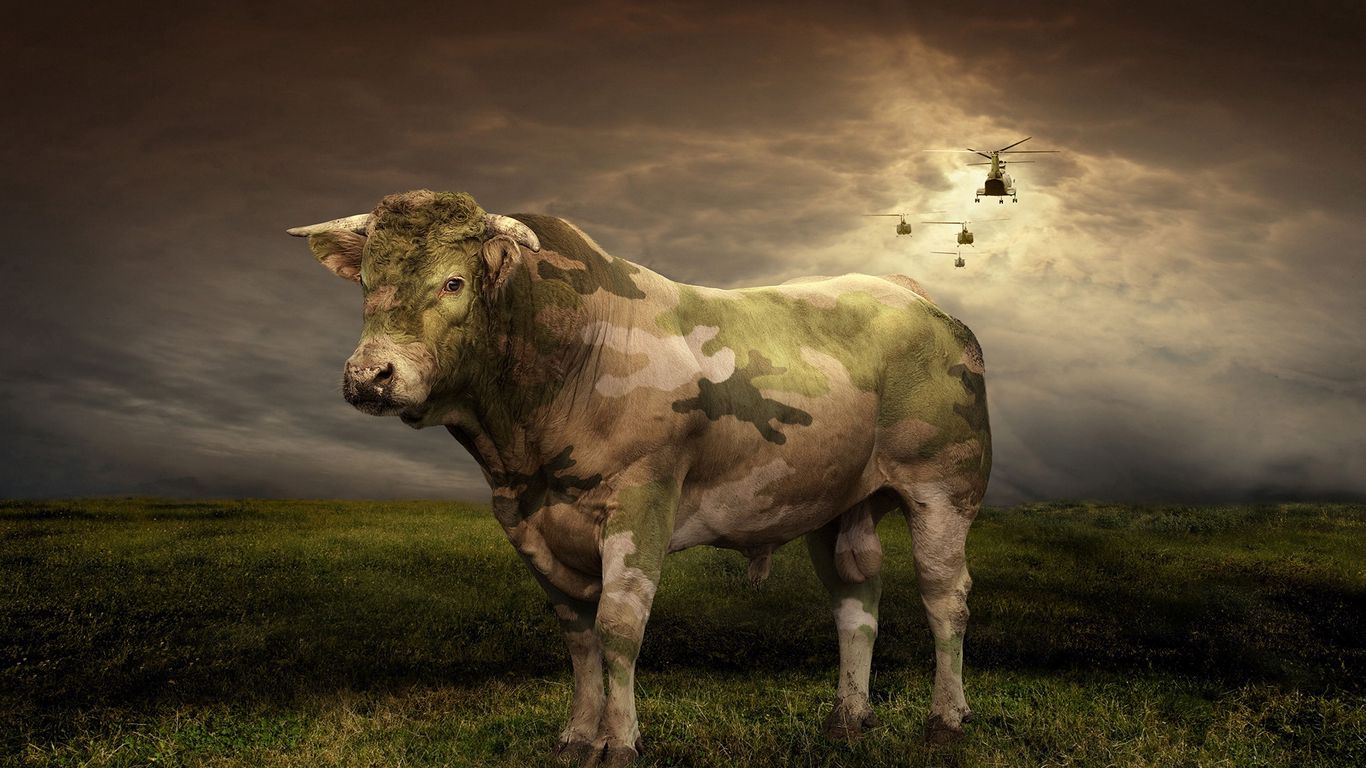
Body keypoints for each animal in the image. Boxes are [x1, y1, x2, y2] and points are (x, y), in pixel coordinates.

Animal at [288, 190, 991, 766]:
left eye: (453, 282)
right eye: (366, 283)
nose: (371, 376)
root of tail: (910, 293)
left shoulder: (641, 500)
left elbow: (618, 629)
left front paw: (620, 741)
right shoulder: (526, 520)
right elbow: (578, 637)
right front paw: (577, 736)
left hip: (943, 486)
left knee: (944, 596)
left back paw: (946, 719)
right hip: (838, 502)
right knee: (855, 599)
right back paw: (847, 717)